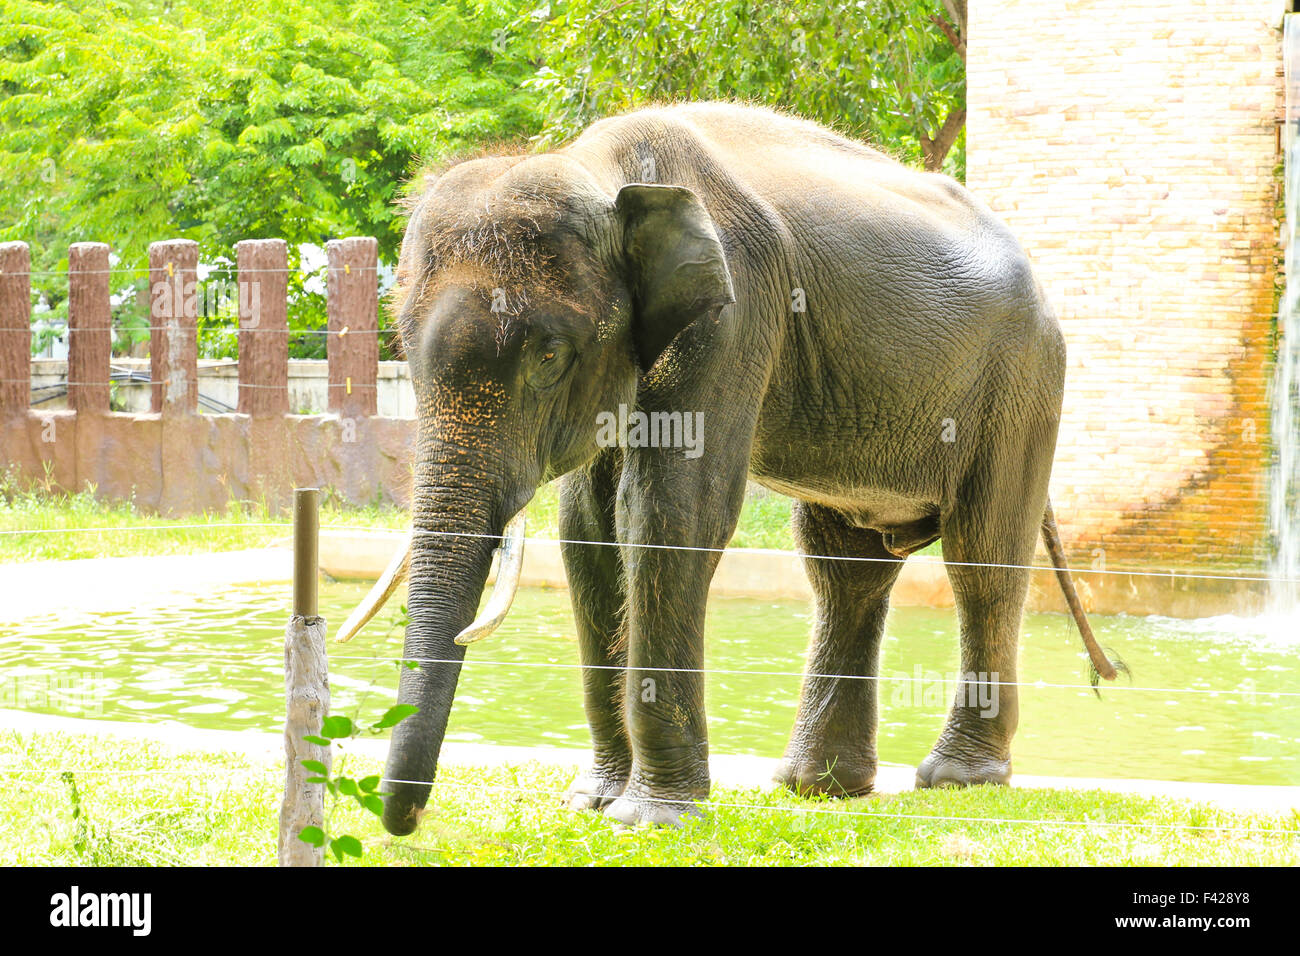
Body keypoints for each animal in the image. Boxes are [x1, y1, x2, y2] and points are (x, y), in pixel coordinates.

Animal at [339, 101, 1120, 835]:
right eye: (402, 345)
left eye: (551, 356)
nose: (405, 822)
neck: (598, 165)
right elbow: (587, 530)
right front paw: (592, 802)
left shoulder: (737, 312)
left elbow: (671, 512)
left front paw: (652, 818)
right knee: (845, 568)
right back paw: (818, 786)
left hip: (1022, 383)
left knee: (982, 556)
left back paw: (957, 779)